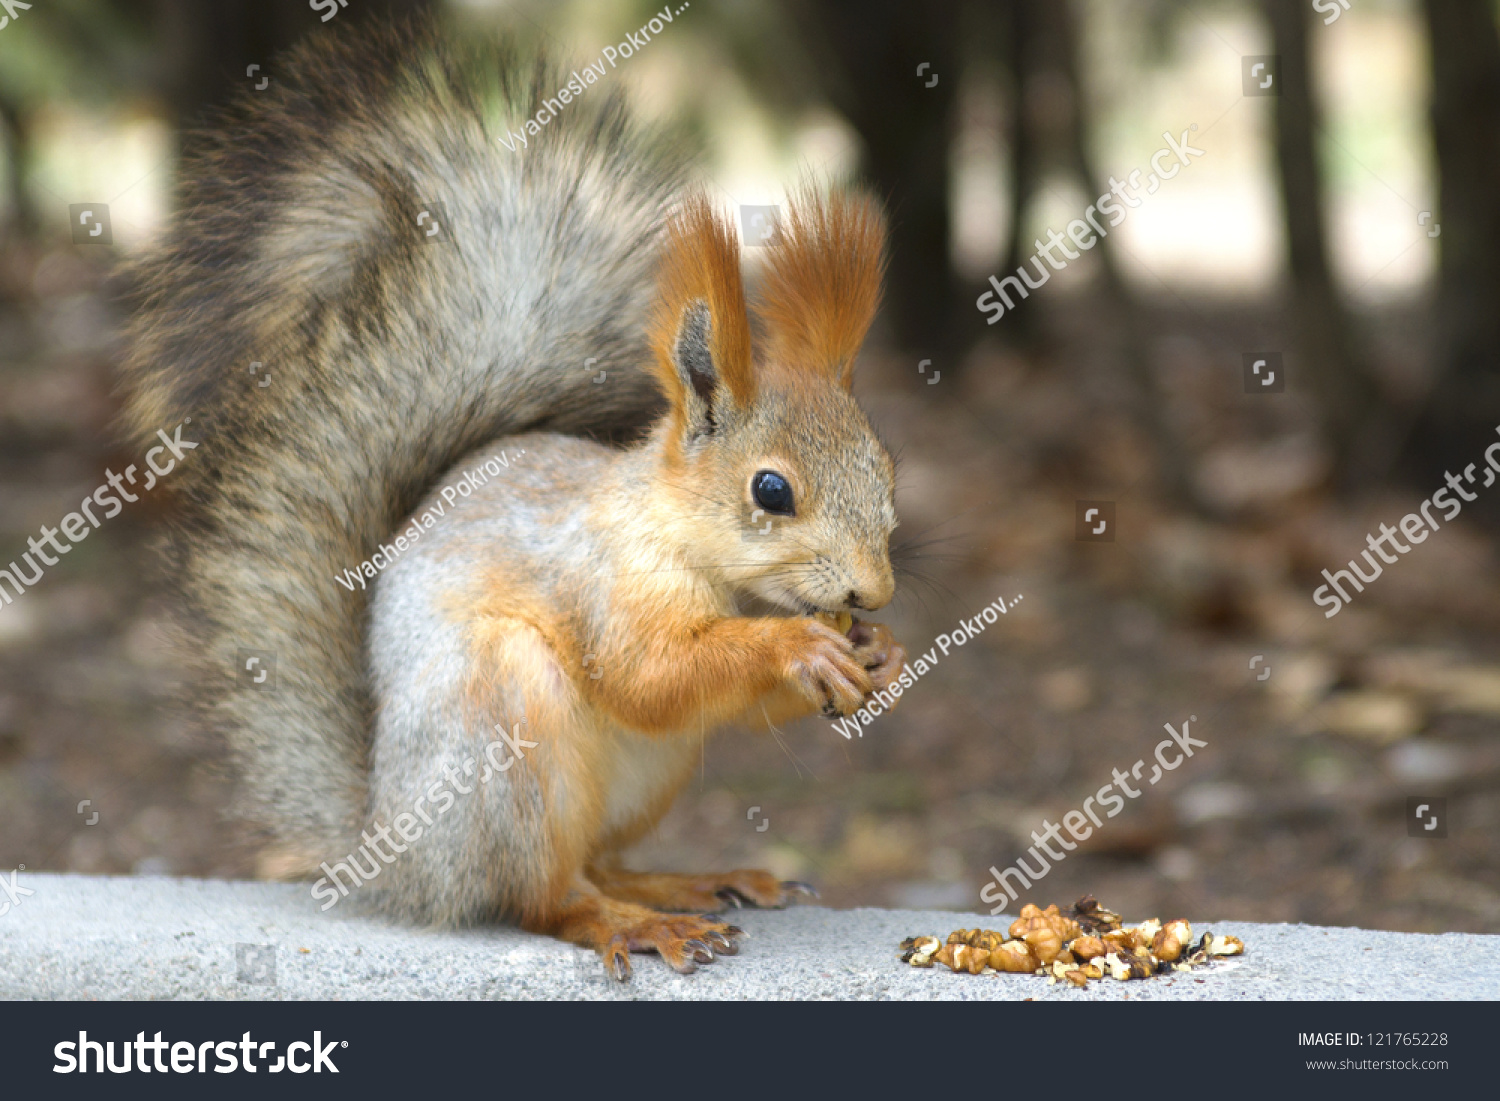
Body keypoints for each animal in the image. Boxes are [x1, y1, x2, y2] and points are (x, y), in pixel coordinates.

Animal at [120, 18, 906, 979]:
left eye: (885, 467)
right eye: (771, 489)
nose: (874, 592)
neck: (680, 536)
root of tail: (396, 851)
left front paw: (881, 654)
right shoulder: (601, 581)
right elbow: (648, 675)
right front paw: (798, 644)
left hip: (646, 774)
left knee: (598, 859)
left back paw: (679, 881)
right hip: (502, 722)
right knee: (544, 892)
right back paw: (627, 922)